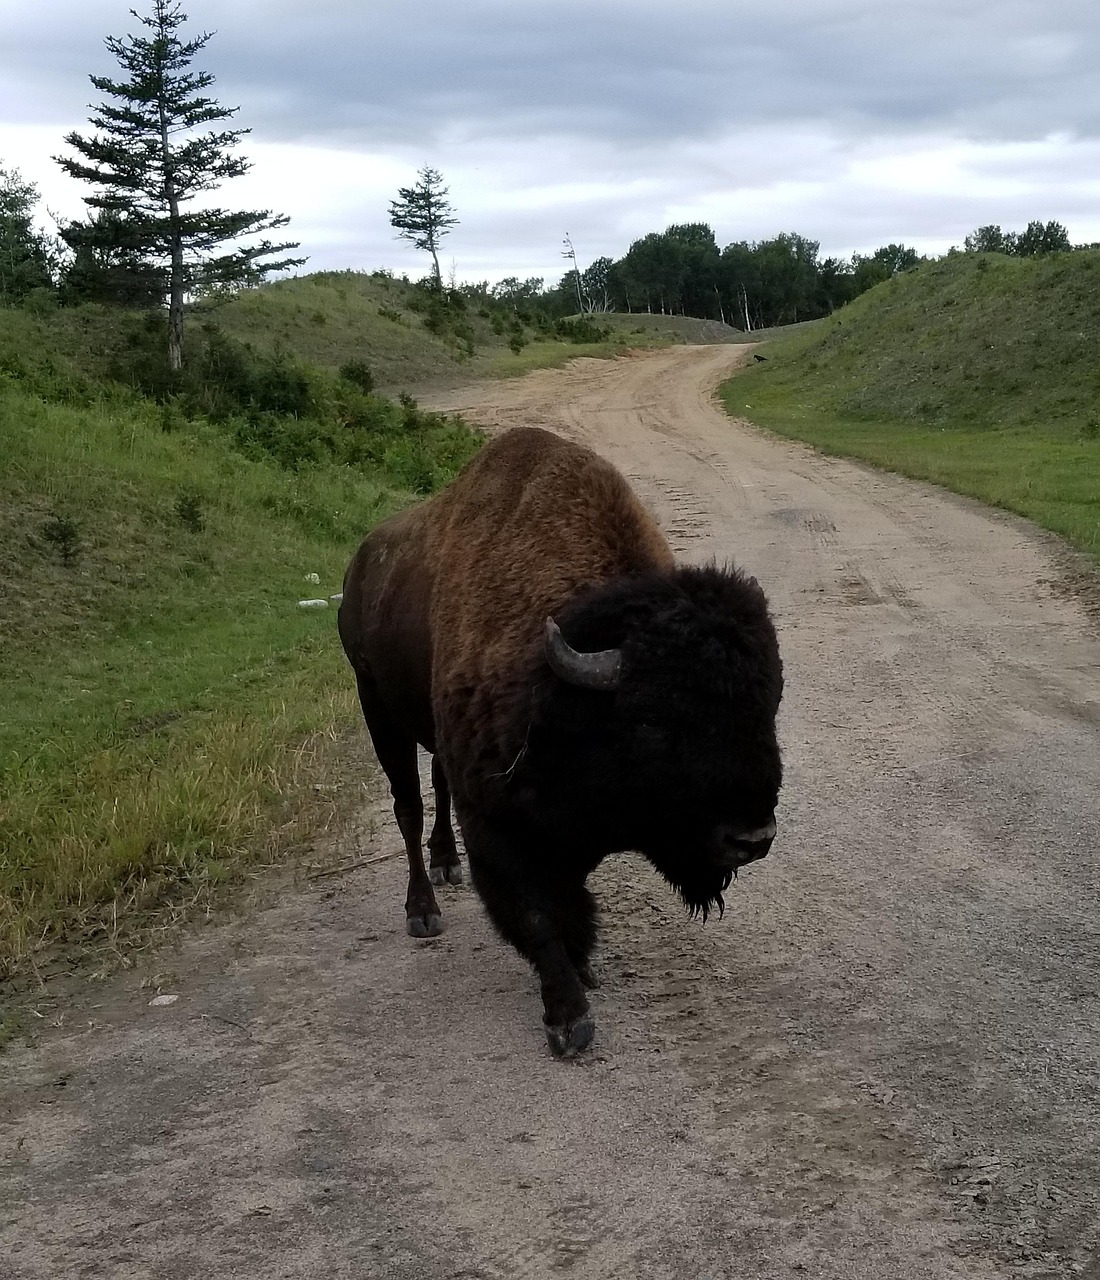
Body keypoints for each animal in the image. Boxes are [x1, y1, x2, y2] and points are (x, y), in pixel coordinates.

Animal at [338, 427, 783, 1056]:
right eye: (653, 722)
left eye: (768, 708)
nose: (752, 838)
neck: (558, 692)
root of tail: (360, 566)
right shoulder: (499, 828)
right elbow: (538, 916)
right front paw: (569, 1020)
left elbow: (572, 898)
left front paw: (585, 964)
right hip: (376, 706)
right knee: (407, 806)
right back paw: (422, 911)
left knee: (435, 787)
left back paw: (447, 864)